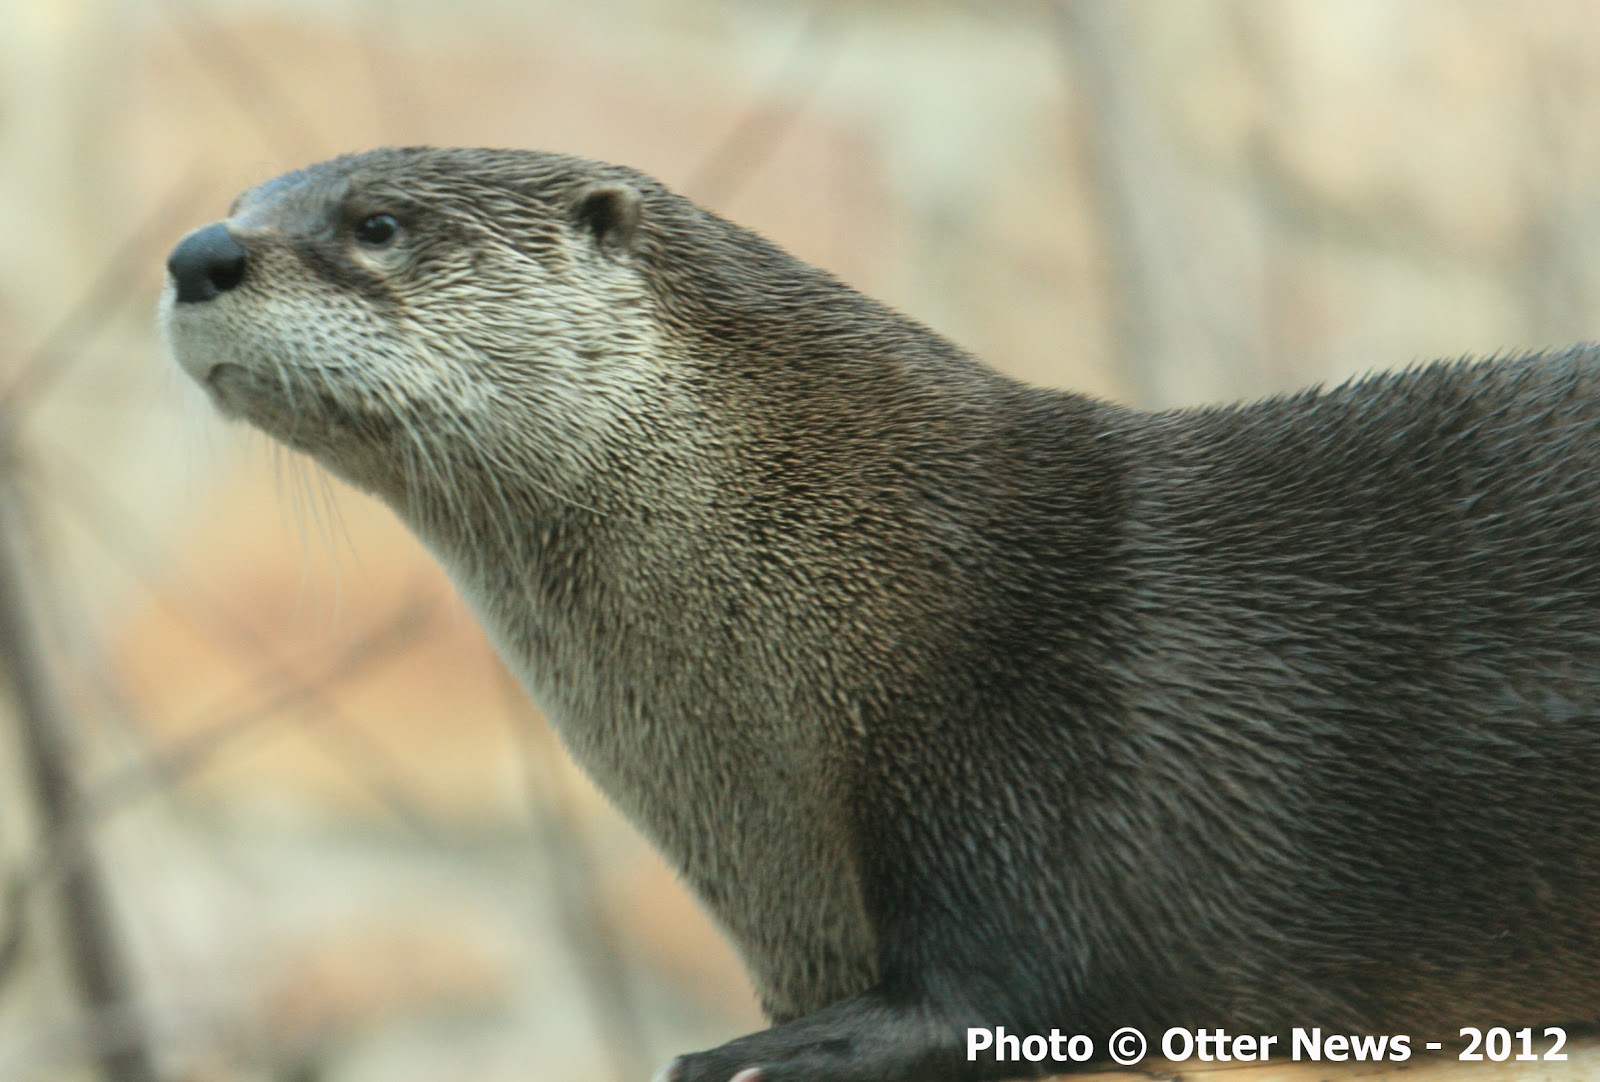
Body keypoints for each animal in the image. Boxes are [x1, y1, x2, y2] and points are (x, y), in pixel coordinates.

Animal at [160, 147, 1600, 1081]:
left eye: (378, 223)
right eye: (237, 203)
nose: (195, 253)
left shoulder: (1030, 720)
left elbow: (1019, 983)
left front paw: (785, 1051)